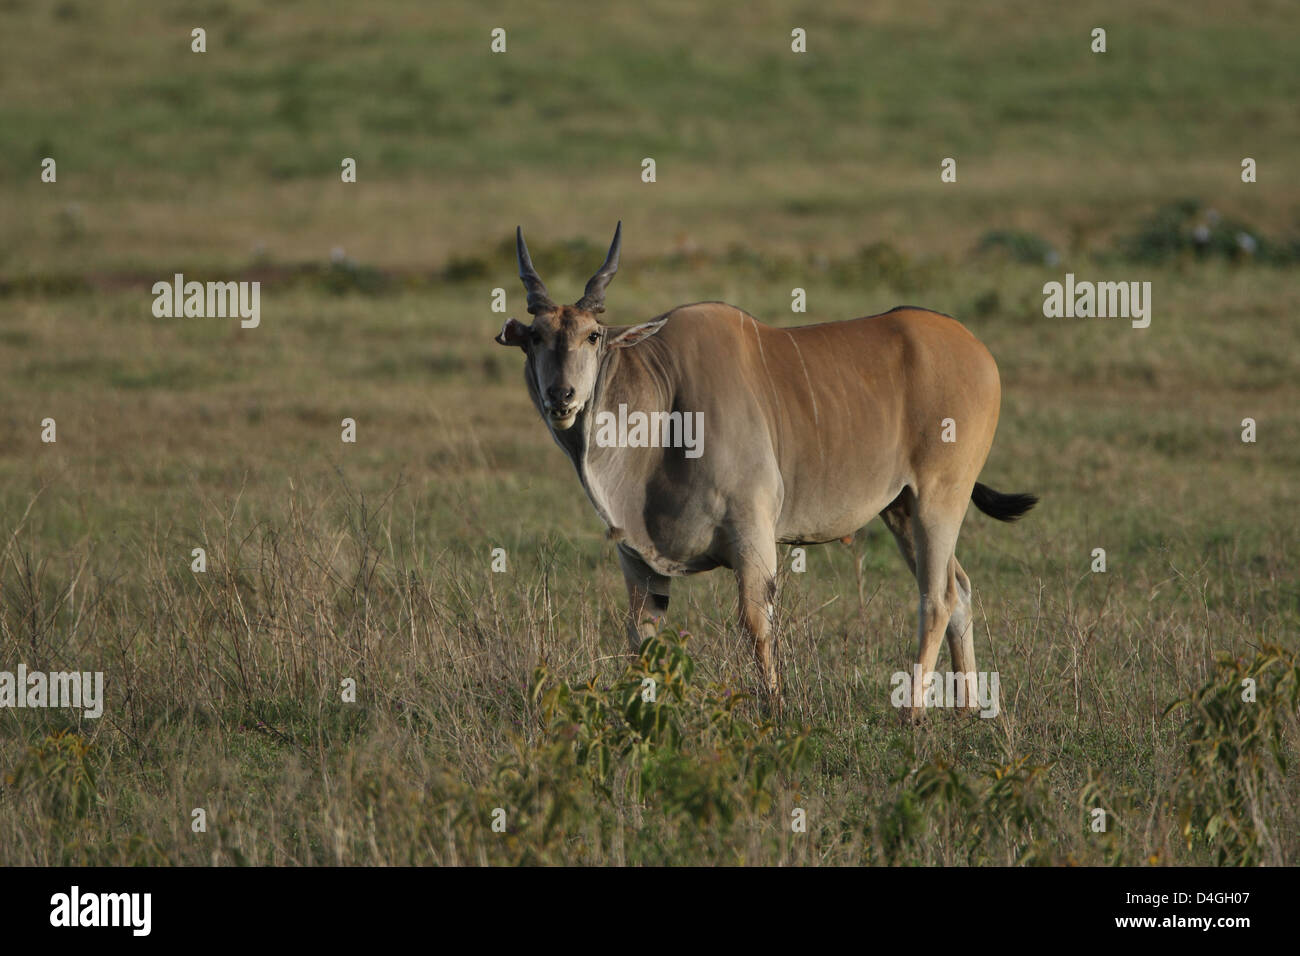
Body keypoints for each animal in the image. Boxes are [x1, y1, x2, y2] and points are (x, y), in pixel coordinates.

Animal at [495, 223, 1037, 719]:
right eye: (536, 338)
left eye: (592, 336)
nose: (561, 395)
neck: (663, 401)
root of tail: (977, 349)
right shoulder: (638, 560)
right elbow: (642, 638)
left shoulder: (751, 531)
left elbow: (755, 623)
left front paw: (774, 708)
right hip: (901, 509)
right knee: (960, 589)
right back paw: (969, 710)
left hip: (939, 499)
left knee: (938, 597)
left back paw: (914, 713)